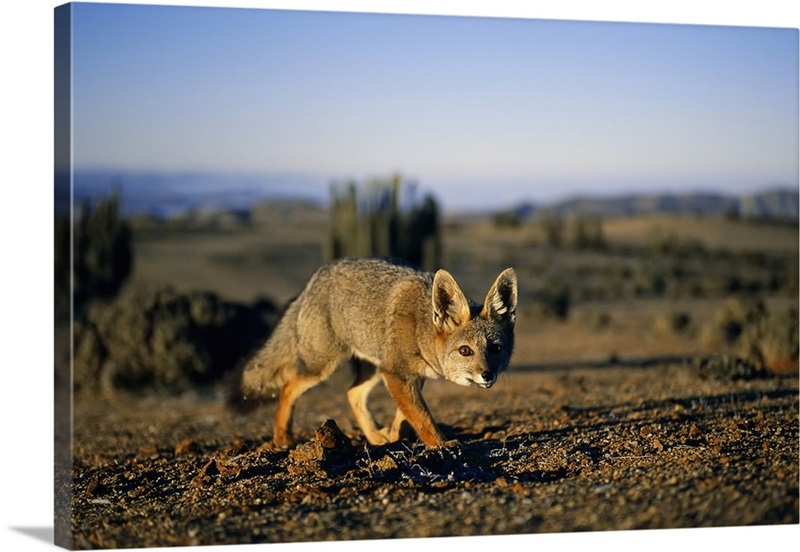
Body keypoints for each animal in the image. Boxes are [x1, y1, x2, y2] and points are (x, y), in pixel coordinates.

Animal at [238, 257, 517, 449]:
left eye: (496, 348)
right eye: (465, 351)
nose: (487, 375)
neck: (421, 325)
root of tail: (316, 277)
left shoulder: (409, 375)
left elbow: (405, 414)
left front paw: (394, 435)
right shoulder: (396, 373)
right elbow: (422, 416)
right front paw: (441, 444)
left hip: (373, 367)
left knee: (352, 393)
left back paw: (373, 437)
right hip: (324, 366)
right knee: (288, 386)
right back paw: (282, 437)